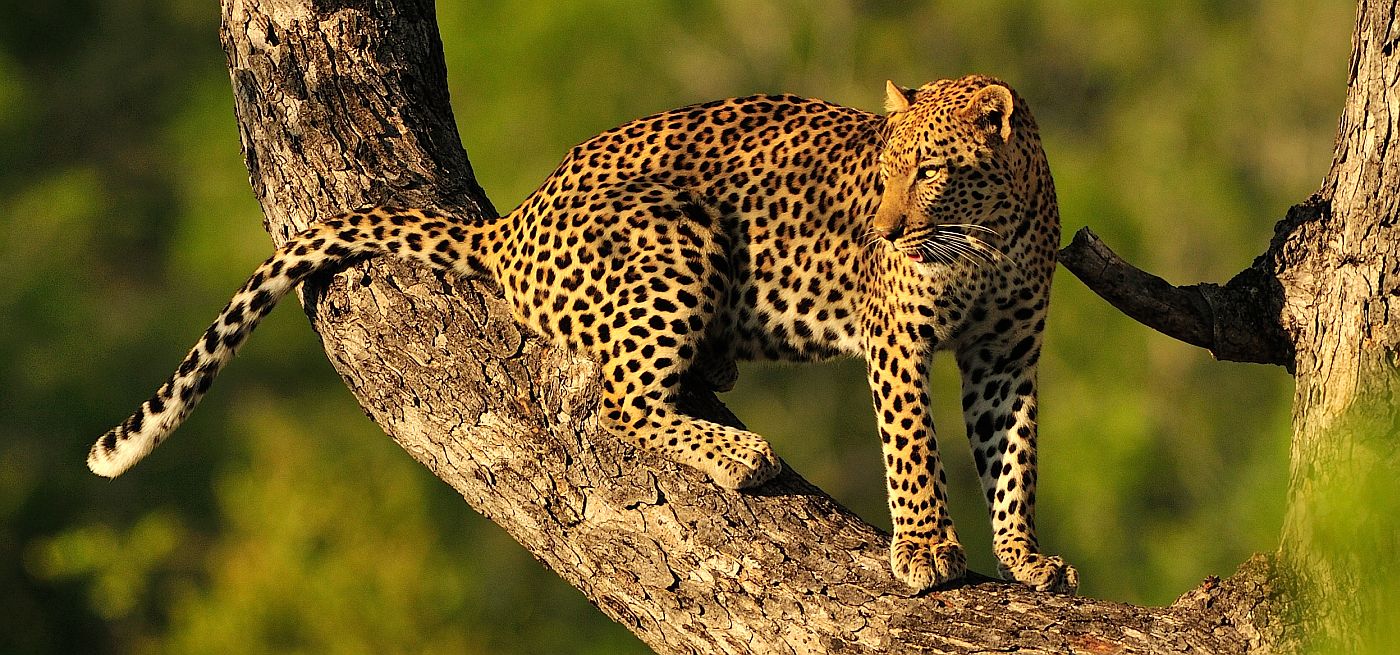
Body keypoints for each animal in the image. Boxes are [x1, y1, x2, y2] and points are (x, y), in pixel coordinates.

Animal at [87, 74, 1077, 594]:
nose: (883, 229)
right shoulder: (899, 339)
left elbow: (1015, 456)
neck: (991, 232)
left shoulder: (1008, 355)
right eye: (884, 170)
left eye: (932, 169)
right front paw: (927, 550)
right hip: (676, 233)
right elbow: (914, 449)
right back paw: (739, 454)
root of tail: (513, 223)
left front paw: (1026, 558)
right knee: (621, 401)